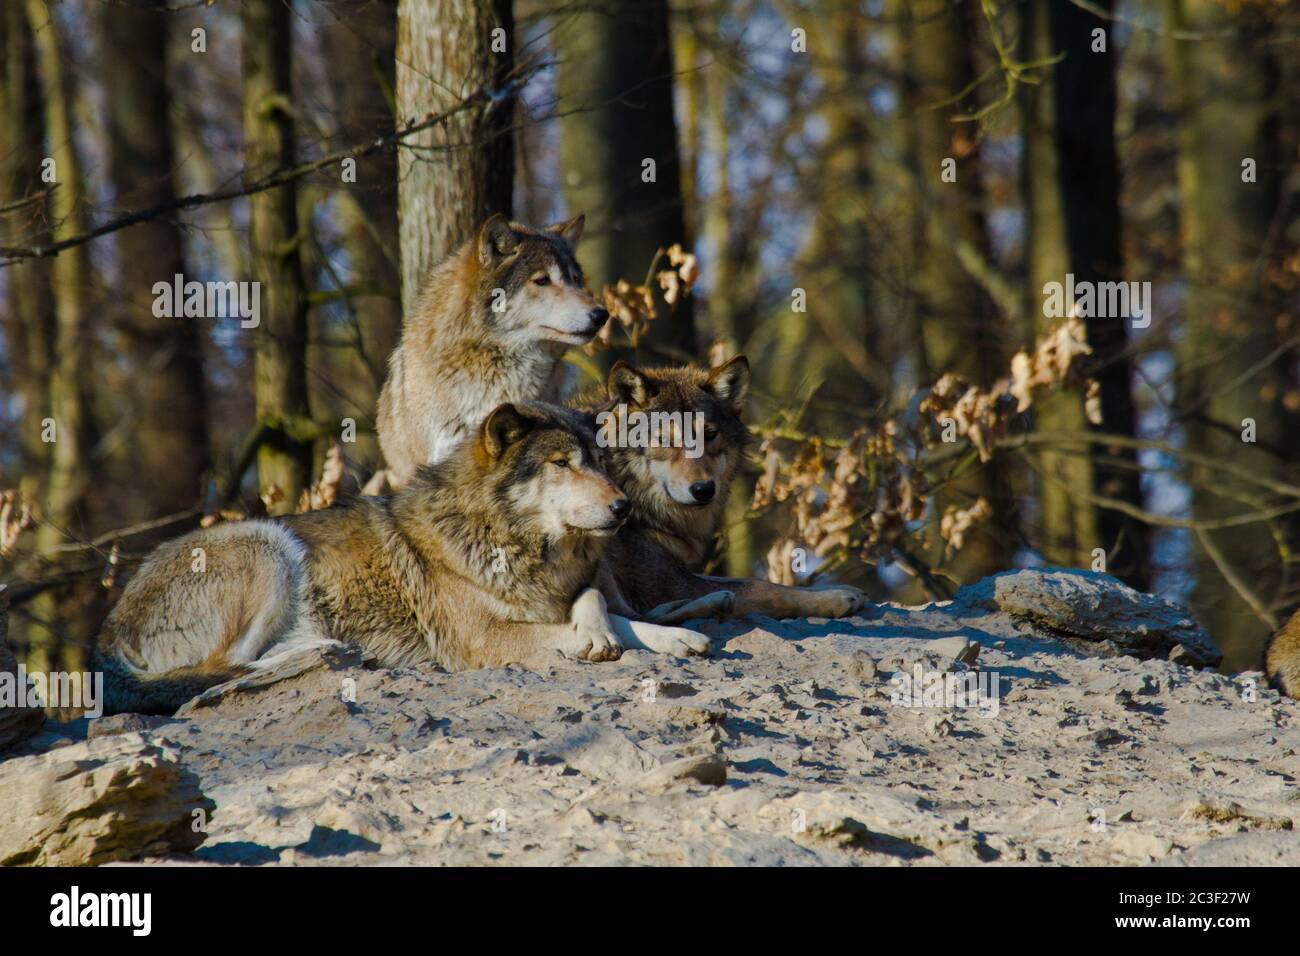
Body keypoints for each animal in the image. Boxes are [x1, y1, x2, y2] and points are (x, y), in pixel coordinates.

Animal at [94, 402, 708, 715]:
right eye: (561, 464)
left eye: (599, 464)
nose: (623, 507)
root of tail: (107, 630)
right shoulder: (480, 640)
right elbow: (582, 624)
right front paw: (593, 639)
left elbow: (604, 602)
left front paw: (675, 637)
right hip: (267, 545)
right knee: (222, 666)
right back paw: (320, 651)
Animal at [571, 357, 869, 622]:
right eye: (664, 439)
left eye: (709, 434)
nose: (703, 489)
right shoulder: (666, 584)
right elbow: (761, 586)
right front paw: (836, 598)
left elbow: (742, 578)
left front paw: (841, 588)